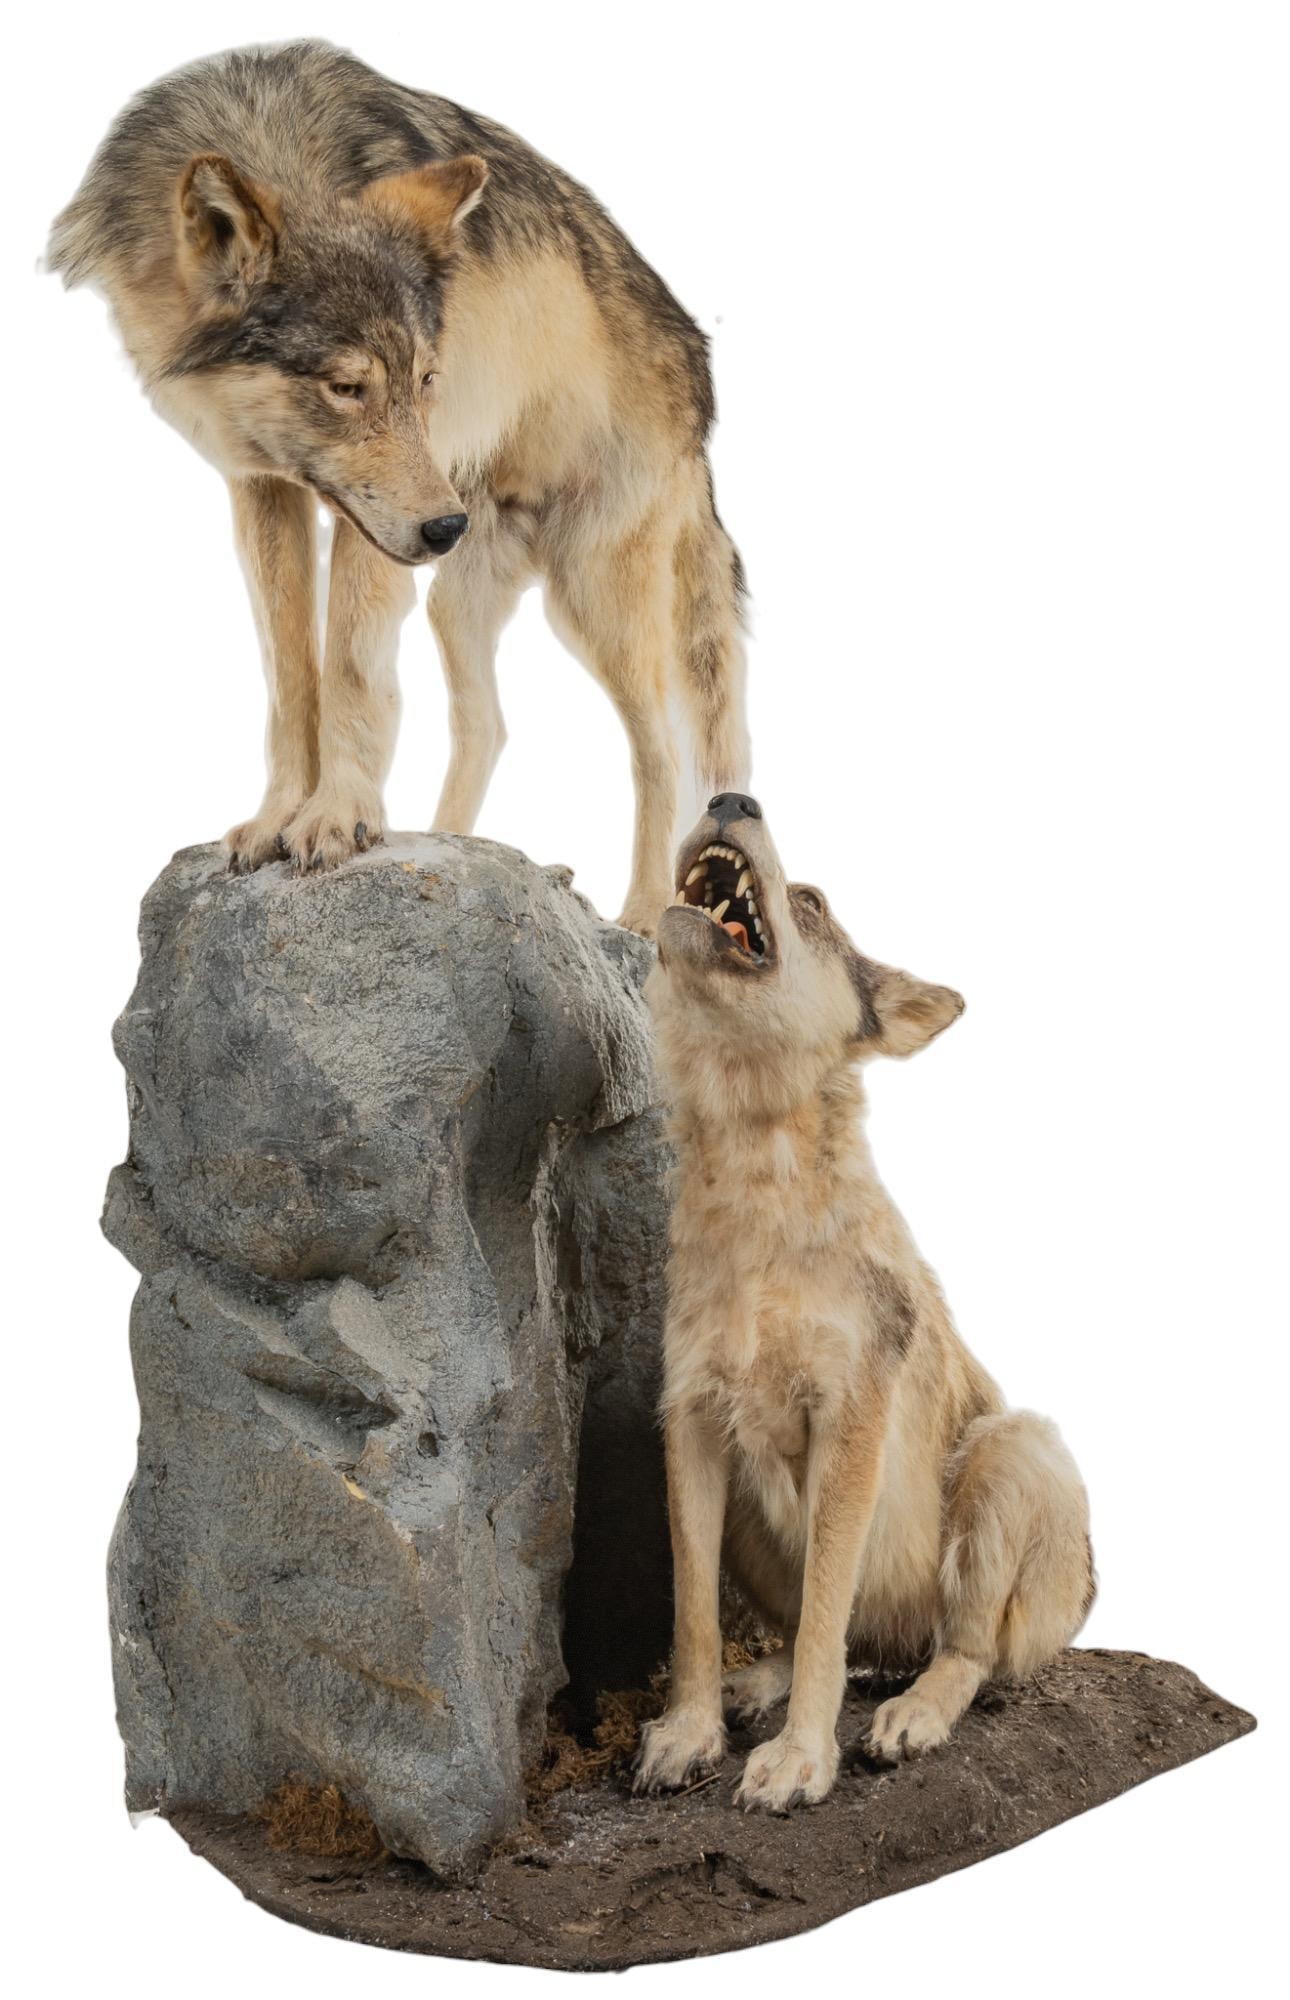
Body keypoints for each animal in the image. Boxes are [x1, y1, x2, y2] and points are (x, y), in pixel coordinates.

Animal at [47, 41, 748, 931]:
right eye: (348, 388)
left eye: (426, 380)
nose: (446, 527)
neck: (278, 139)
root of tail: (700, 365)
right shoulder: (262, 489)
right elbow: (291, 678)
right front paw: (282, 818)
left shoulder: (370, 532)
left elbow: (348, 665)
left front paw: (337, 817)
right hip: (459, 602)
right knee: (490, 726)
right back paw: (454, 850)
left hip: (591, 598)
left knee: (658, 746)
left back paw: (644, 916)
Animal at [635, 794, 1094, 1810]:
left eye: (811, 902)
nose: (731, 798)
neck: (755, 1186)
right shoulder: (691, 1424)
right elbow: (693, 1615)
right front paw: (690, 1733)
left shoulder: (847, 1428)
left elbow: (821, 1622)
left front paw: (802, 1761)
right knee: (851, 1641)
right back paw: (757, 1687)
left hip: (1014, 1450)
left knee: (961, 1652)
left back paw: (910, 1714)